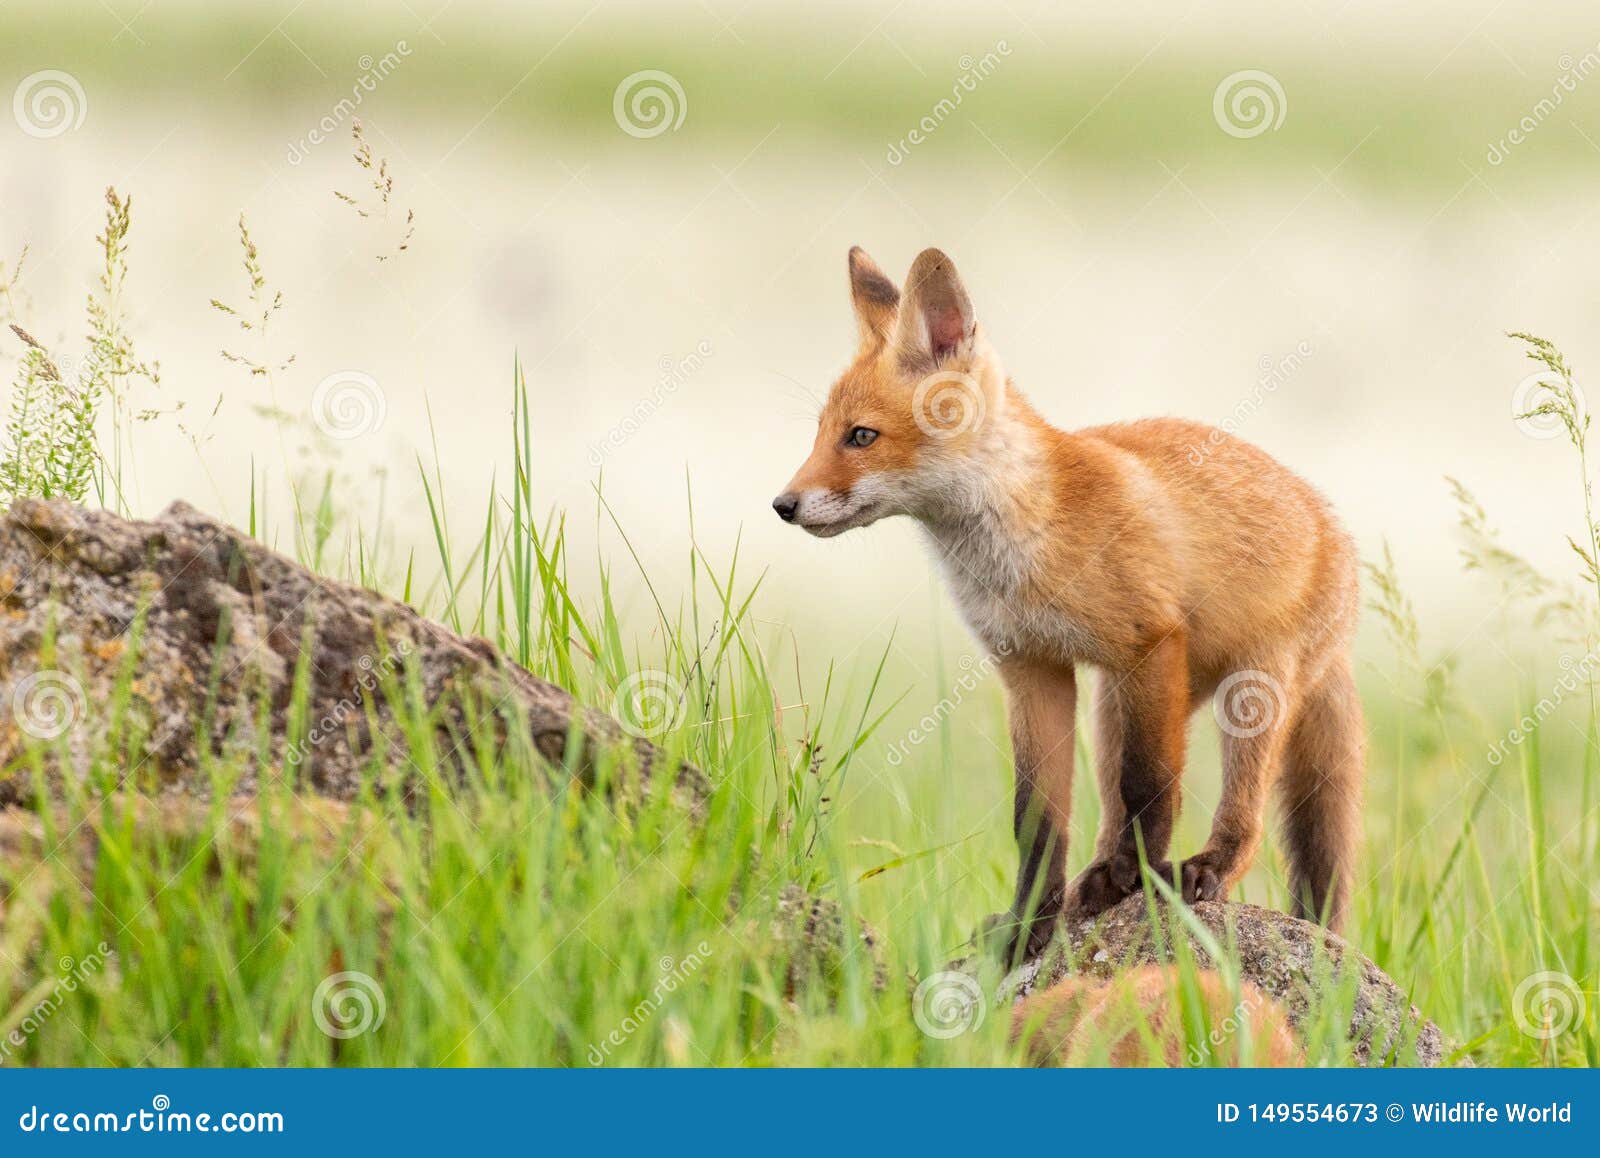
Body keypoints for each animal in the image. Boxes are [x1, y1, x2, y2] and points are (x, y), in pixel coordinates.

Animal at [773, 246, 1364, 959]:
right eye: (820, 435)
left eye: (861, 437)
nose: (782, 504)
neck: (1023, 548)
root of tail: (1335, 527)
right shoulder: (1031, 670)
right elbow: (1038, 819)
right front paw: (1029, 923)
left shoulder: (1149, 642)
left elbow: (1148, 786)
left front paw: (1145, 882)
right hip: (1120, 702)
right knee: (1111, 808)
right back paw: (1099, 880)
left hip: (1248, 694)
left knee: (1241, 814)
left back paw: (1206, 868)